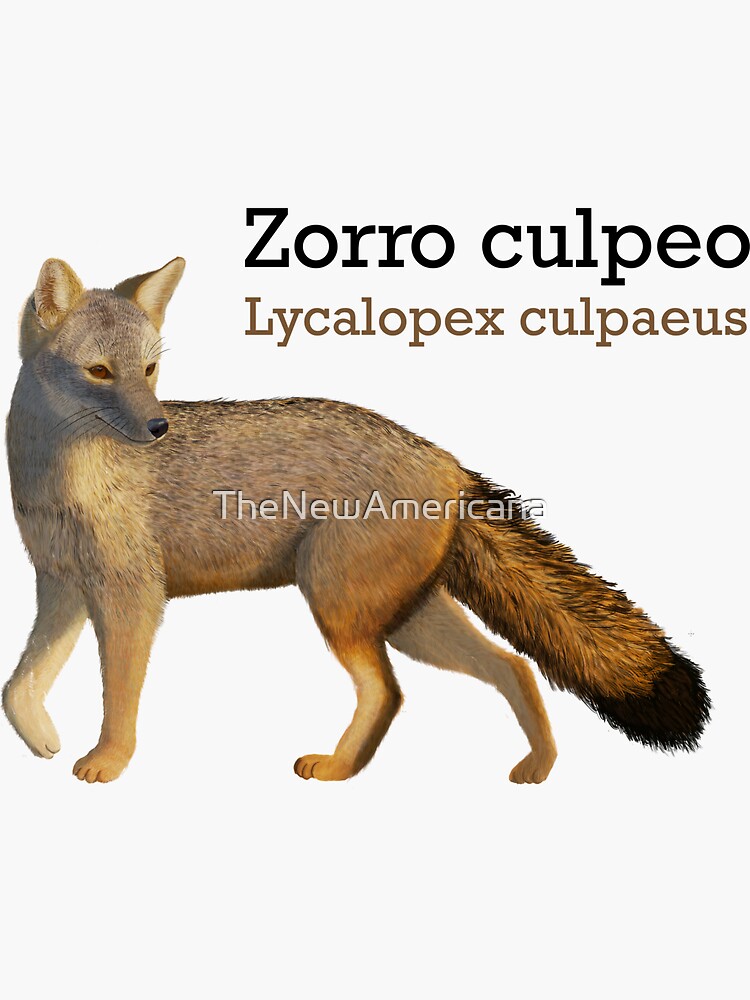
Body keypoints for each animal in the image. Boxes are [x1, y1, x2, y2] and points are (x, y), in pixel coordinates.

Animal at [4, 257, 711, 784]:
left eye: (151, 370)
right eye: (100, 372)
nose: (157, 427)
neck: (56, 479)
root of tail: (446, 460)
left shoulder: (131, 597)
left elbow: (118, 695)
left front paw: (109, 760)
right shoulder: (62, 587)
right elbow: (18, 686)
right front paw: (44, 741)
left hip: (339, 606)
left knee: (390, 692)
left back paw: (340, 767)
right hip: (407, 621)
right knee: (513, 667)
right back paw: (536, 765)